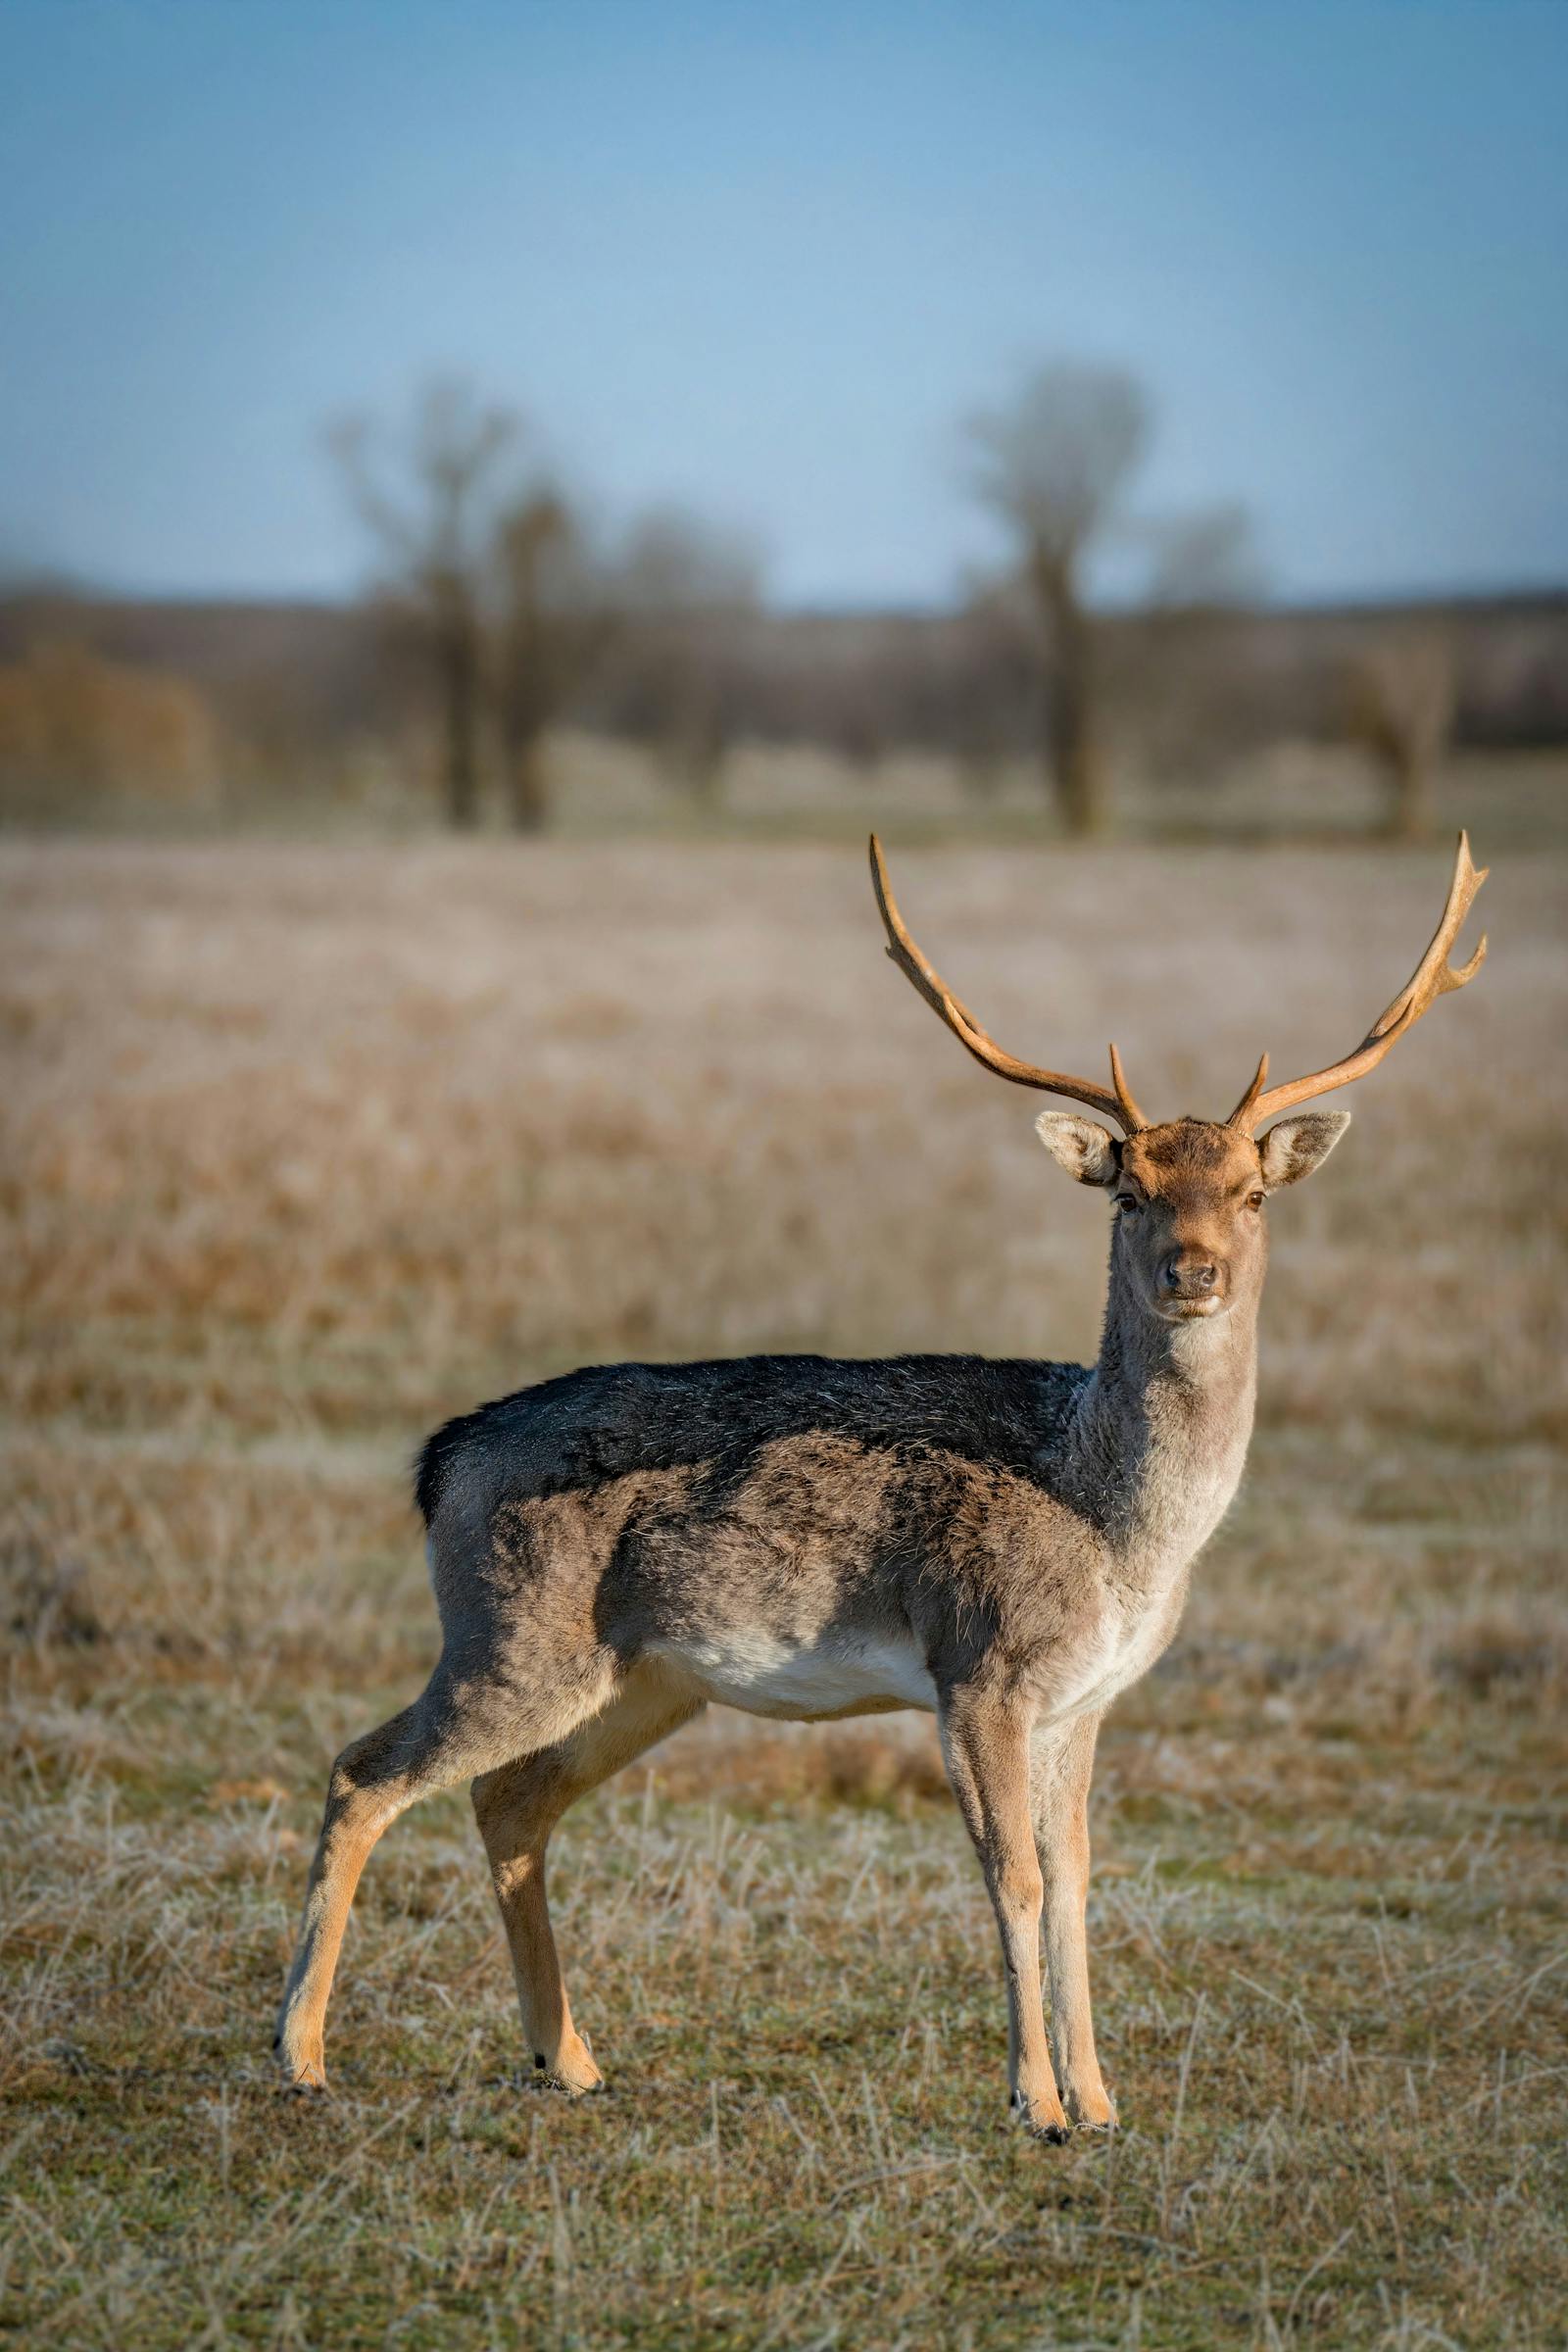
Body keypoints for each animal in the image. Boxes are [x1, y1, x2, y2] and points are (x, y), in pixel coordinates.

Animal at [275, 832, 1487, 2140]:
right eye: (1130, 1190)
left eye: (1252, 1193)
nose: (1193, 1270)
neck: (1112, 1523)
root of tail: (441, 1455)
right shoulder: (979, 1668)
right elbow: (1012, 1877)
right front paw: (1034, 2101)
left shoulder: (1086, 1699)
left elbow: (1076, 1882)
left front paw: (1103, 2101)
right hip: (512, 1639)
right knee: (362, 1773)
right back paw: (301, 2055)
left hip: (641, 1679)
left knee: (507, 1805)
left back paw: (571, 2059)